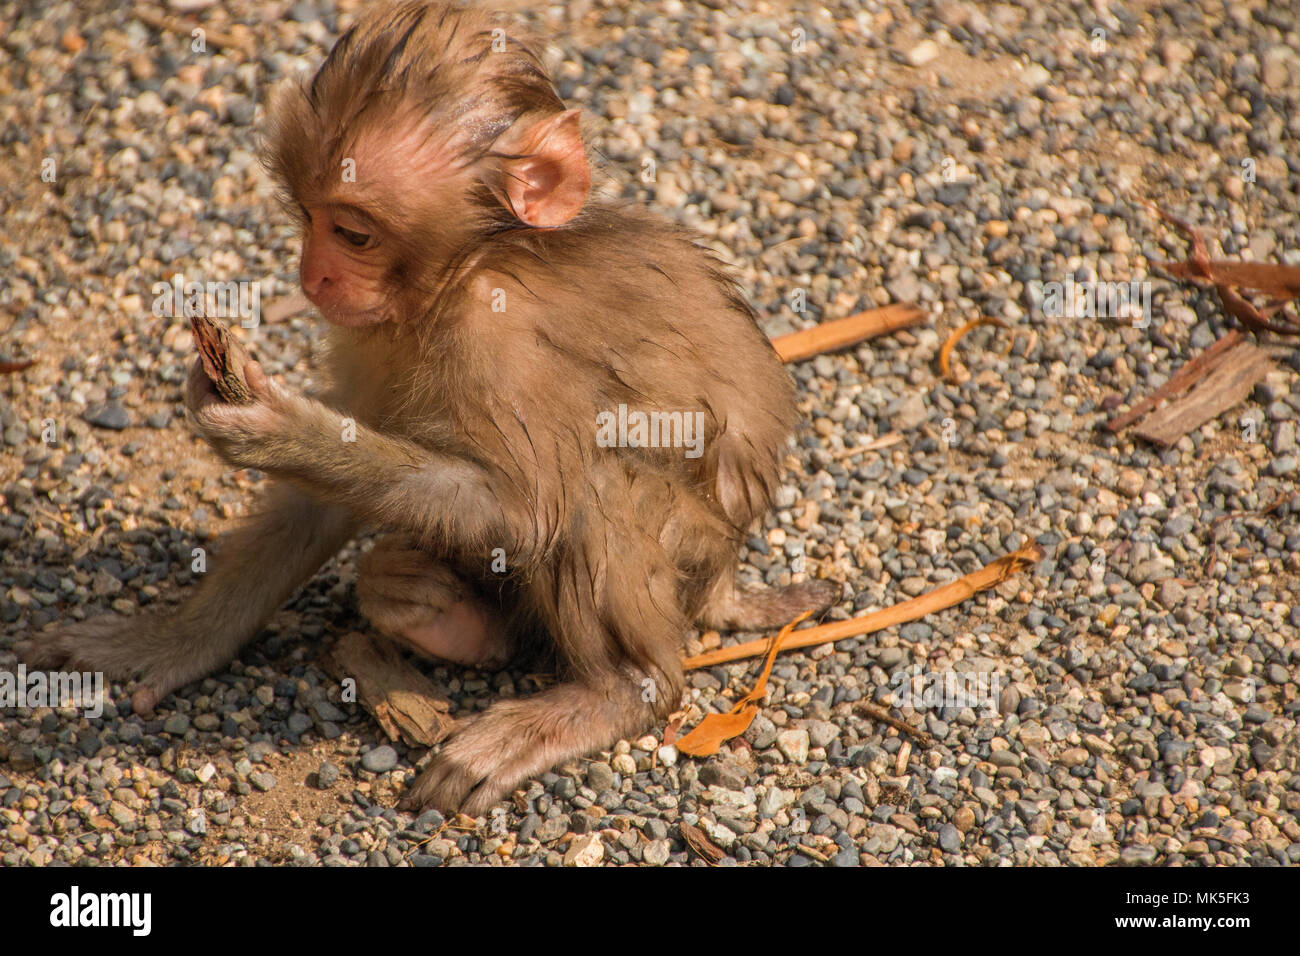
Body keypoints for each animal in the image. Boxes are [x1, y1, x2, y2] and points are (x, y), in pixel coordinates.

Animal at [22, 0, 841, 815]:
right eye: (306, 216)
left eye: (354, 232)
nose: (311, 276)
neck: (460, 272)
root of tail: (726, 572)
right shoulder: (371, 331)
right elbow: (323, 502)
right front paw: (175, 638)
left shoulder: (498, 332)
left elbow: (529, 512)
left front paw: (282, 435)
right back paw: (452, 621)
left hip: (692, 545)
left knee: (599, 483)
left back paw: (616, 690)